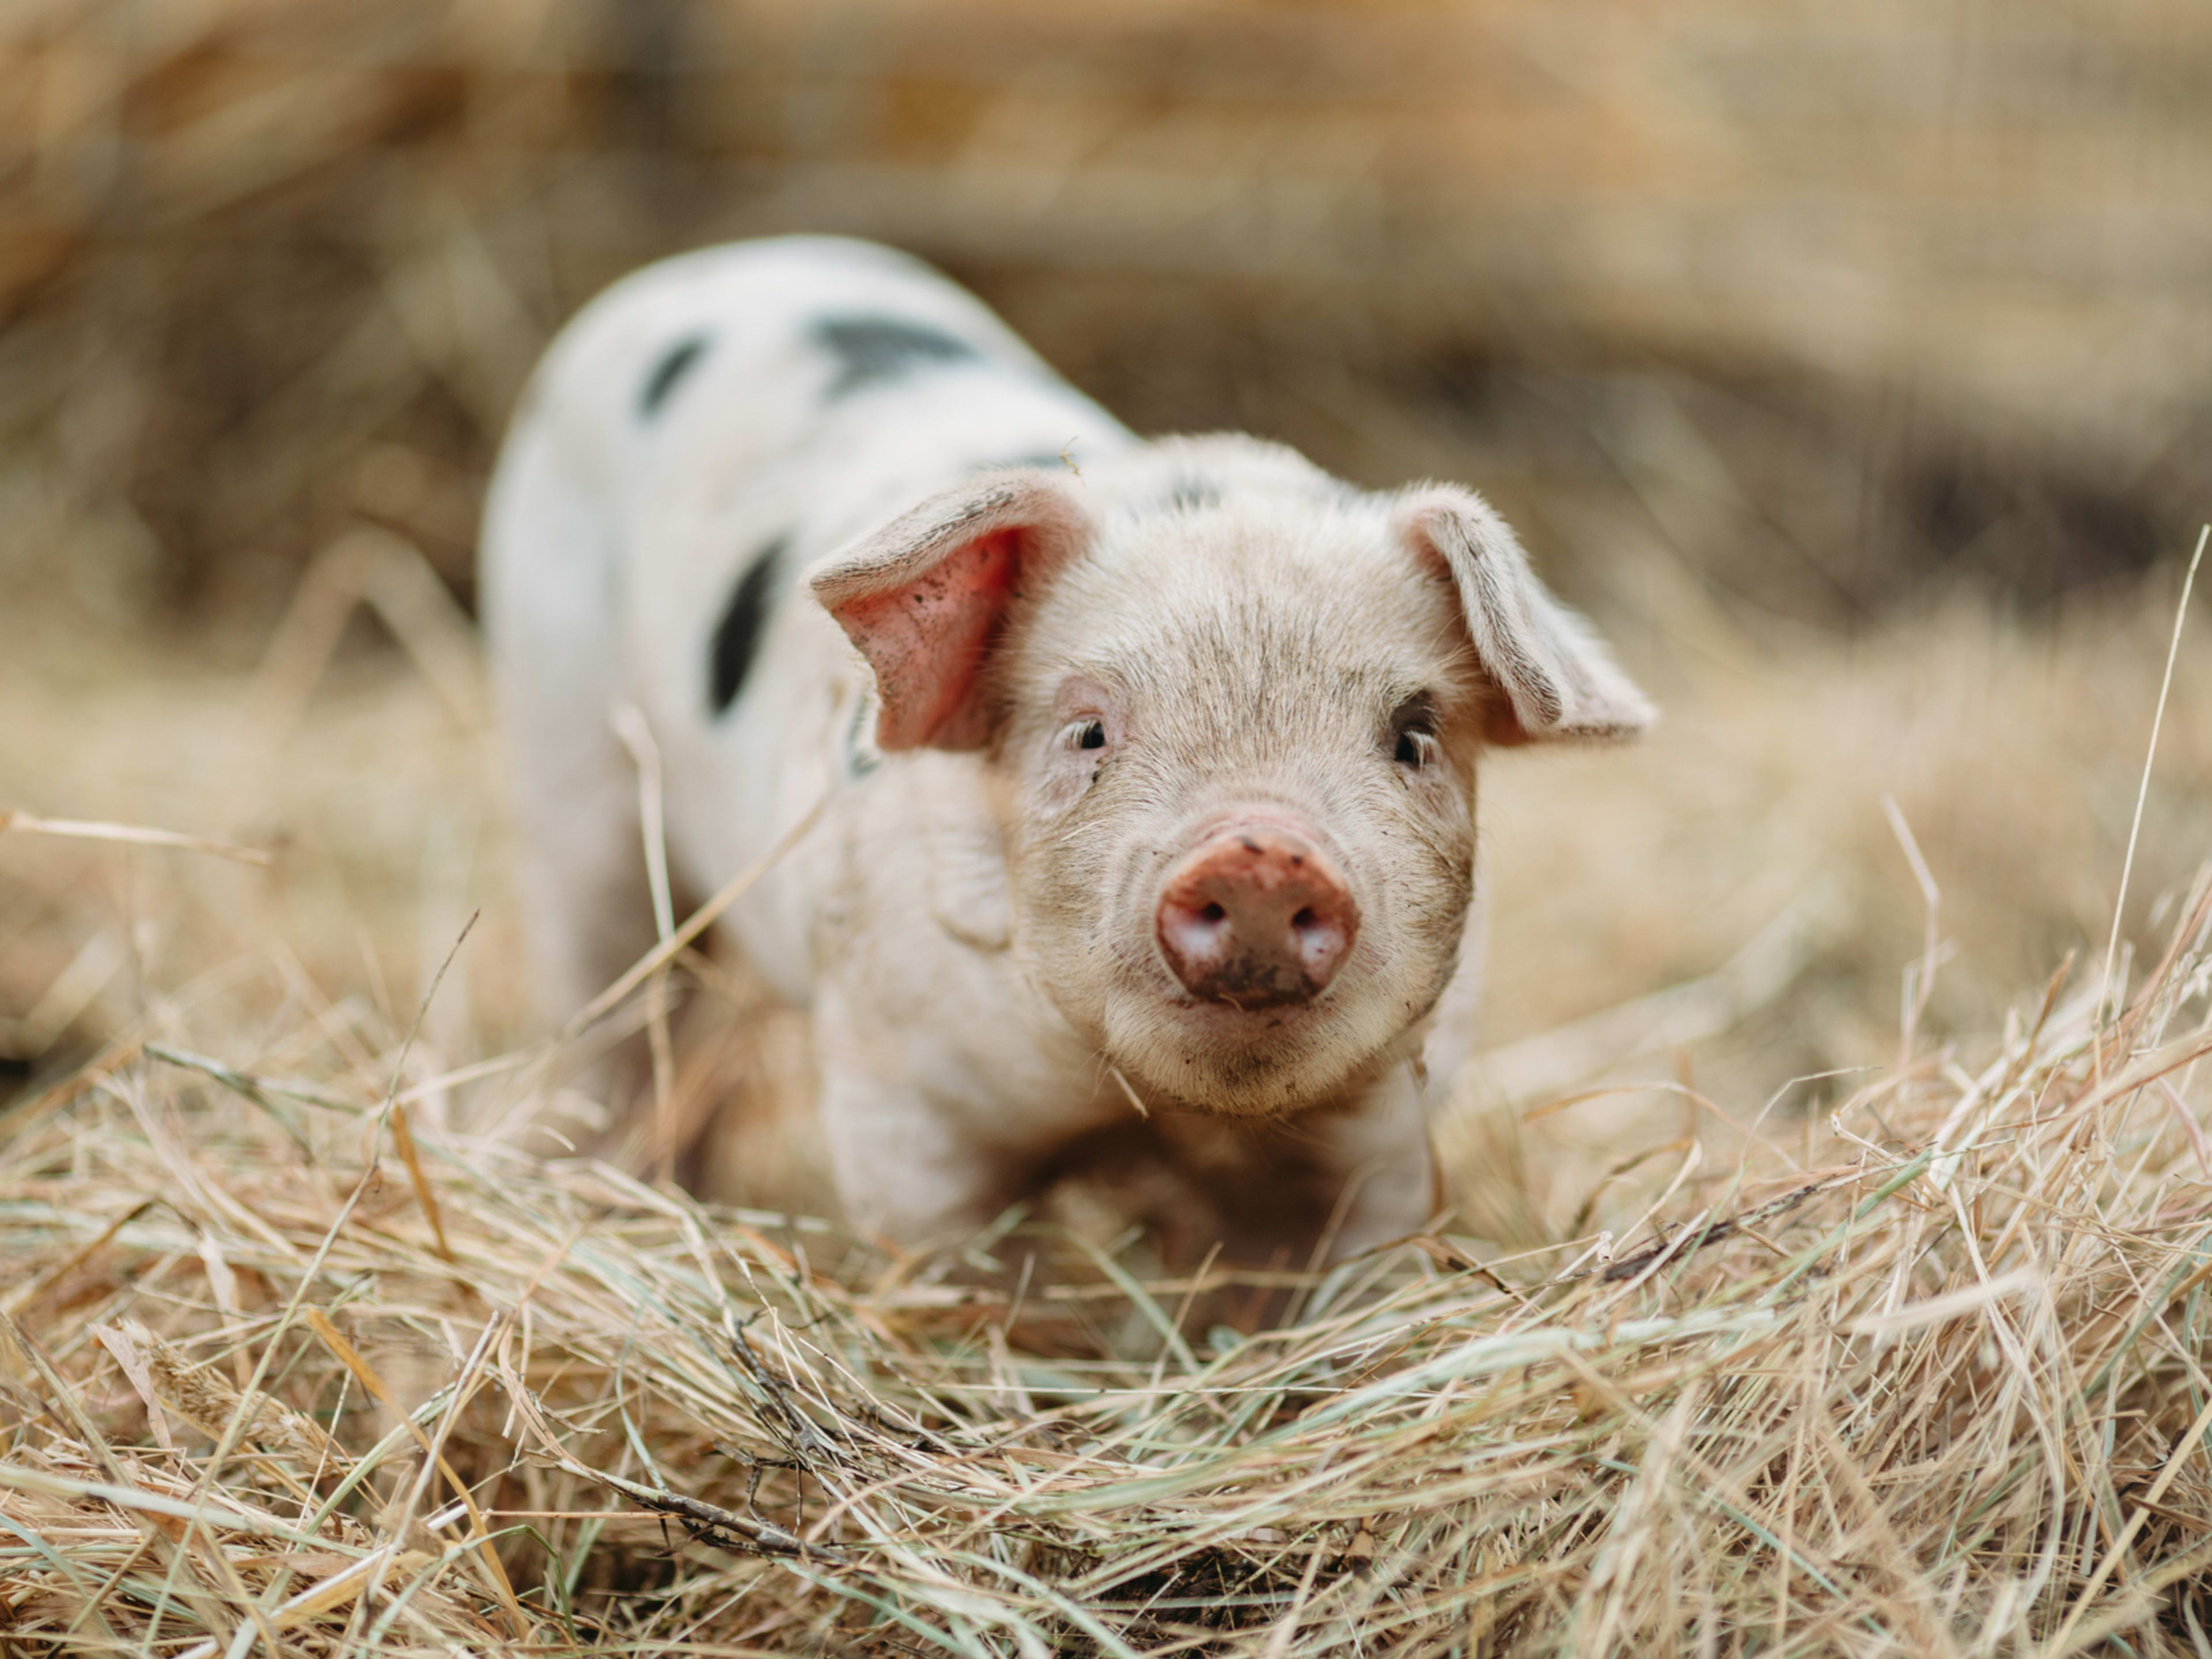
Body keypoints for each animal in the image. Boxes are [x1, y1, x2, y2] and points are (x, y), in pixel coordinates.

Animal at [480, 236, 1652, 1267]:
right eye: (1087, 731)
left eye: (1413, 736)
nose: (1262, 853)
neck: (1142, 1109)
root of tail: (712, 268)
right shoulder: (902, 1097)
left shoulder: (1388, 1131)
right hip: (569, 769)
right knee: (619, 1009)